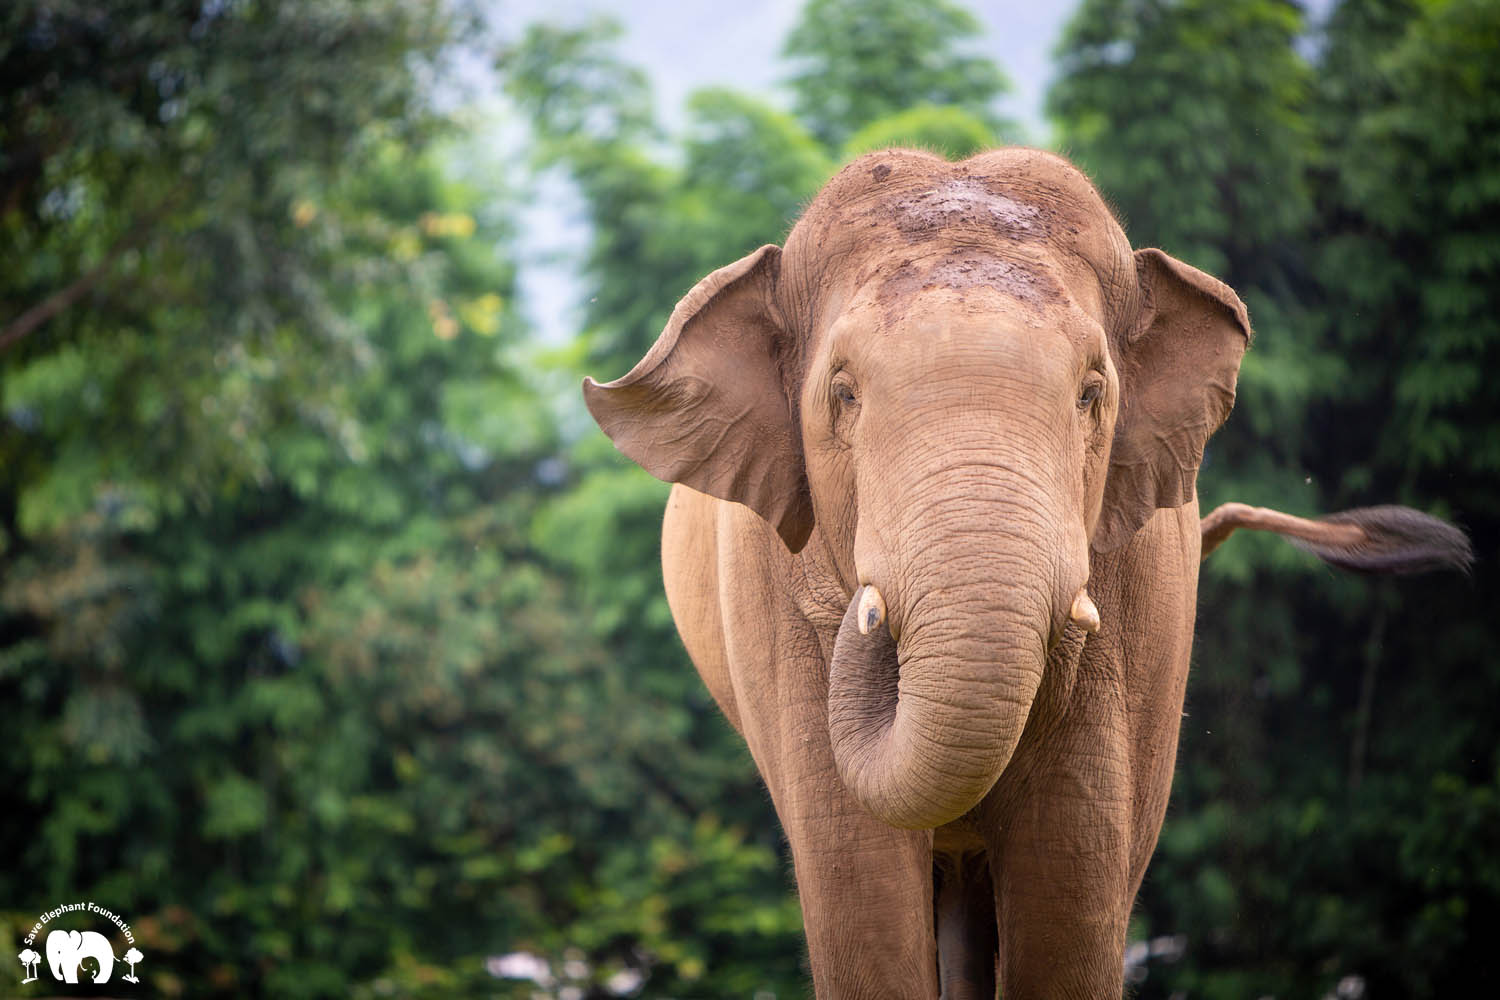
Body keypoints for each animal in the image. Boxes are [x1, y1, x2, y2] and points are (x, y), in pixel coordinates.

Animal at [582, 147, 1472, 998]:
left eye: (1091, 392)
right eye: (842, 394)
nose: (870, 615)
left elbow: (1070, 874)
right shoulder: (769, 597)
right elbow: (860, 895)